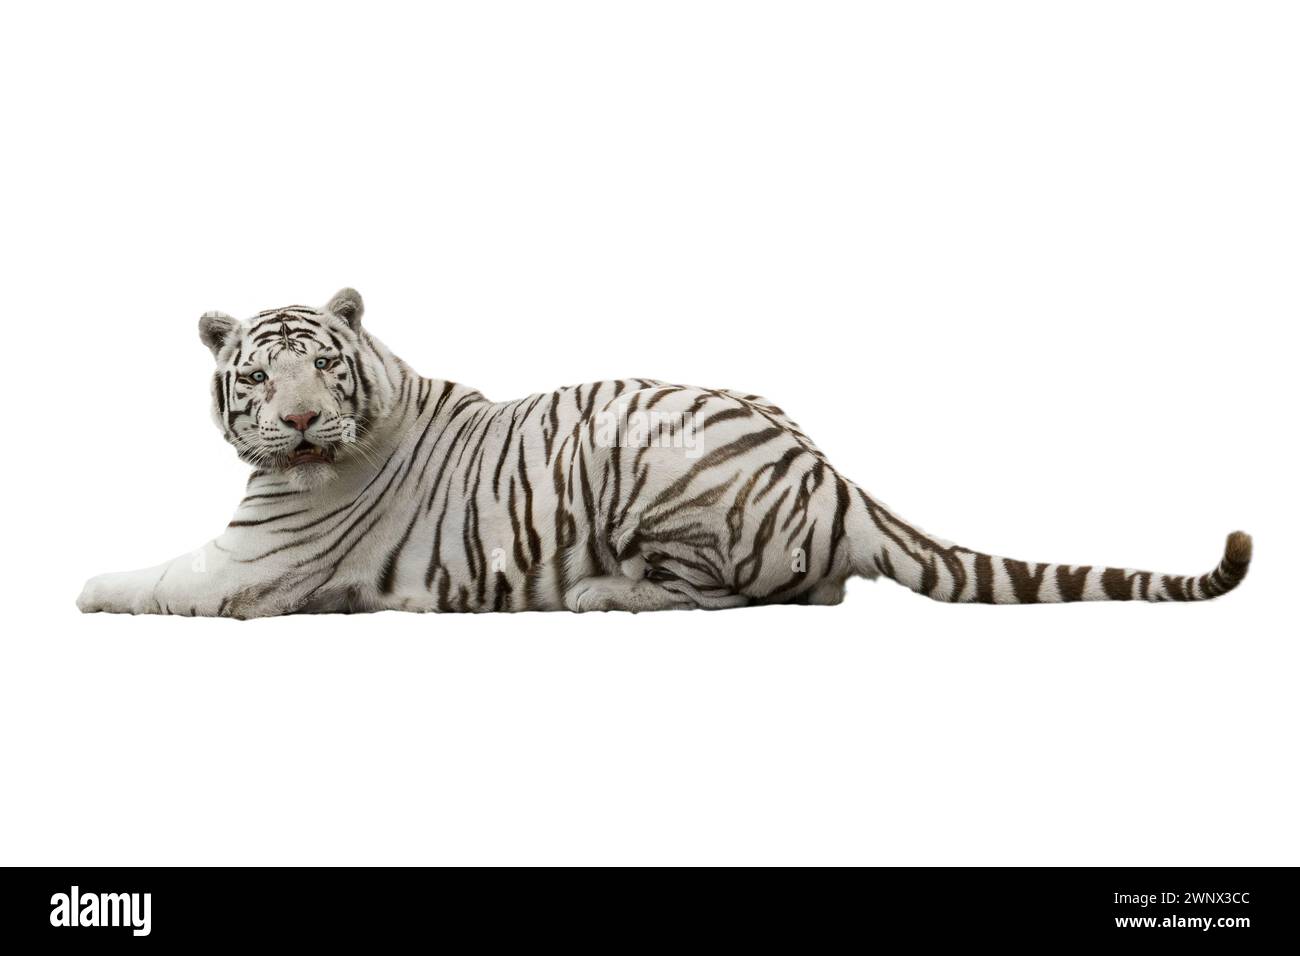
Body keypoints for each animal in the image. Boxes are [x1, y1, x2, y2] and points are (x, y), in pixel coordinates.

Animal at [76, 288, 1252, 618]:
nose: (301, 423)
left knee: (726, 594)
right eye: (259, 380)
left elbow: (149, 579)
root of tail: (833, 475)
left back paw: (603, 592)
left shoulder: (248, 567)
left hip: (656, 464)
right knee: (816, 593)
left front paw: (87, 586)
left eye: (320, 369)